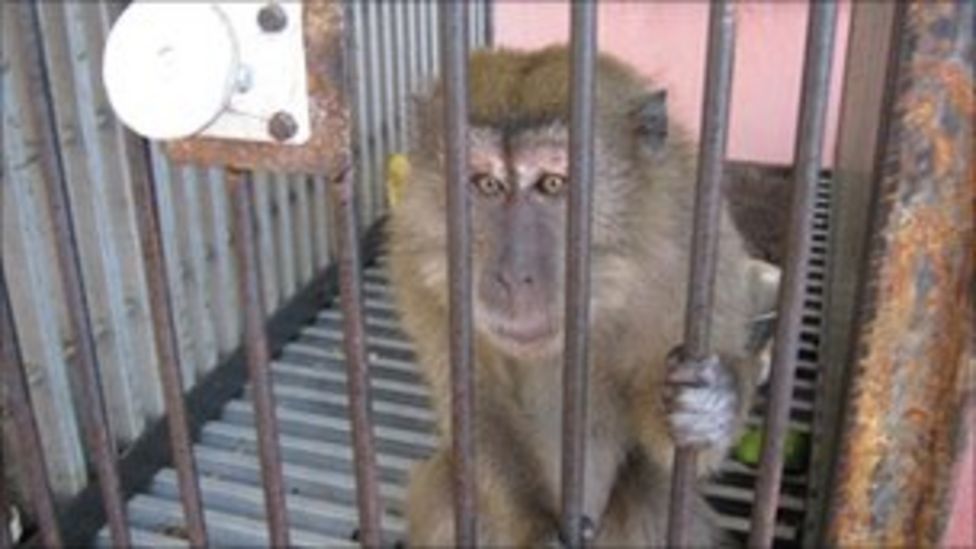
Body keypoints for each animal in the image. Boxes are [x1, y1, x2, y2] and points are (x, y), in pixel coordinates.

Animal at [386, 46, 780, 547]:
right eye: (487, 184)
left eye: (553, 184)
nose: (512, 276)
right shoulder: (417, 264)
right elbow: (476, 403)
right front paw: (538, 530)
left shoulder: (693, 240)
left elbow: (669, 452)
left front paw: (713, 406)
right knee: (443, 495)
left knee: (651, 504)